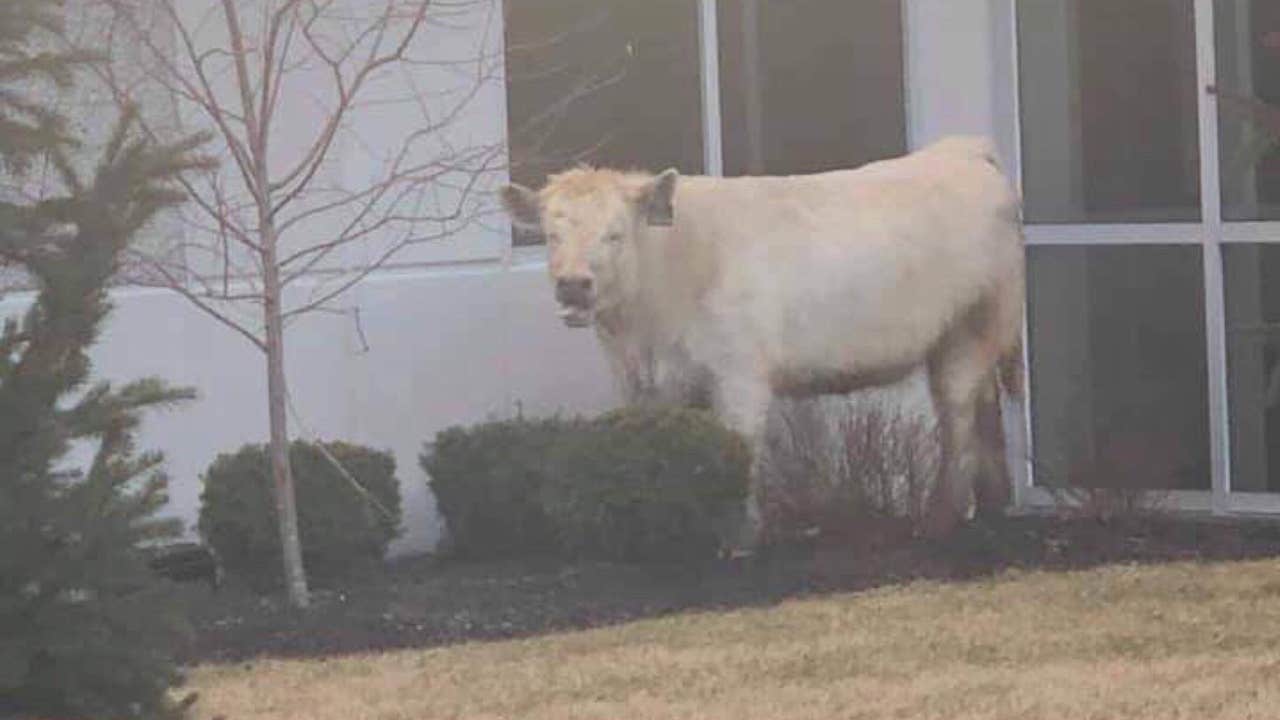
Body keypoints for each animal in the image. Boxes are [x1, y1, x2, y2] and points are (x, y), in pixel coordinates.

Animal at [500, 136, 1025, 550]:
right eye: (550, 234)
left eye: (615, 234)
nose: (573, 285)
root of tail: (961, 150)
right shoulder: (640, 385)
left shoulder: (739, 376)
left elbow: (741, 448)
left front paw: (740, 539)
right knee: (983, 408)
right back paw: (994, 503)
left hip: (970, 329)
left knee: (957, 416)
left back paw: (940, 519)